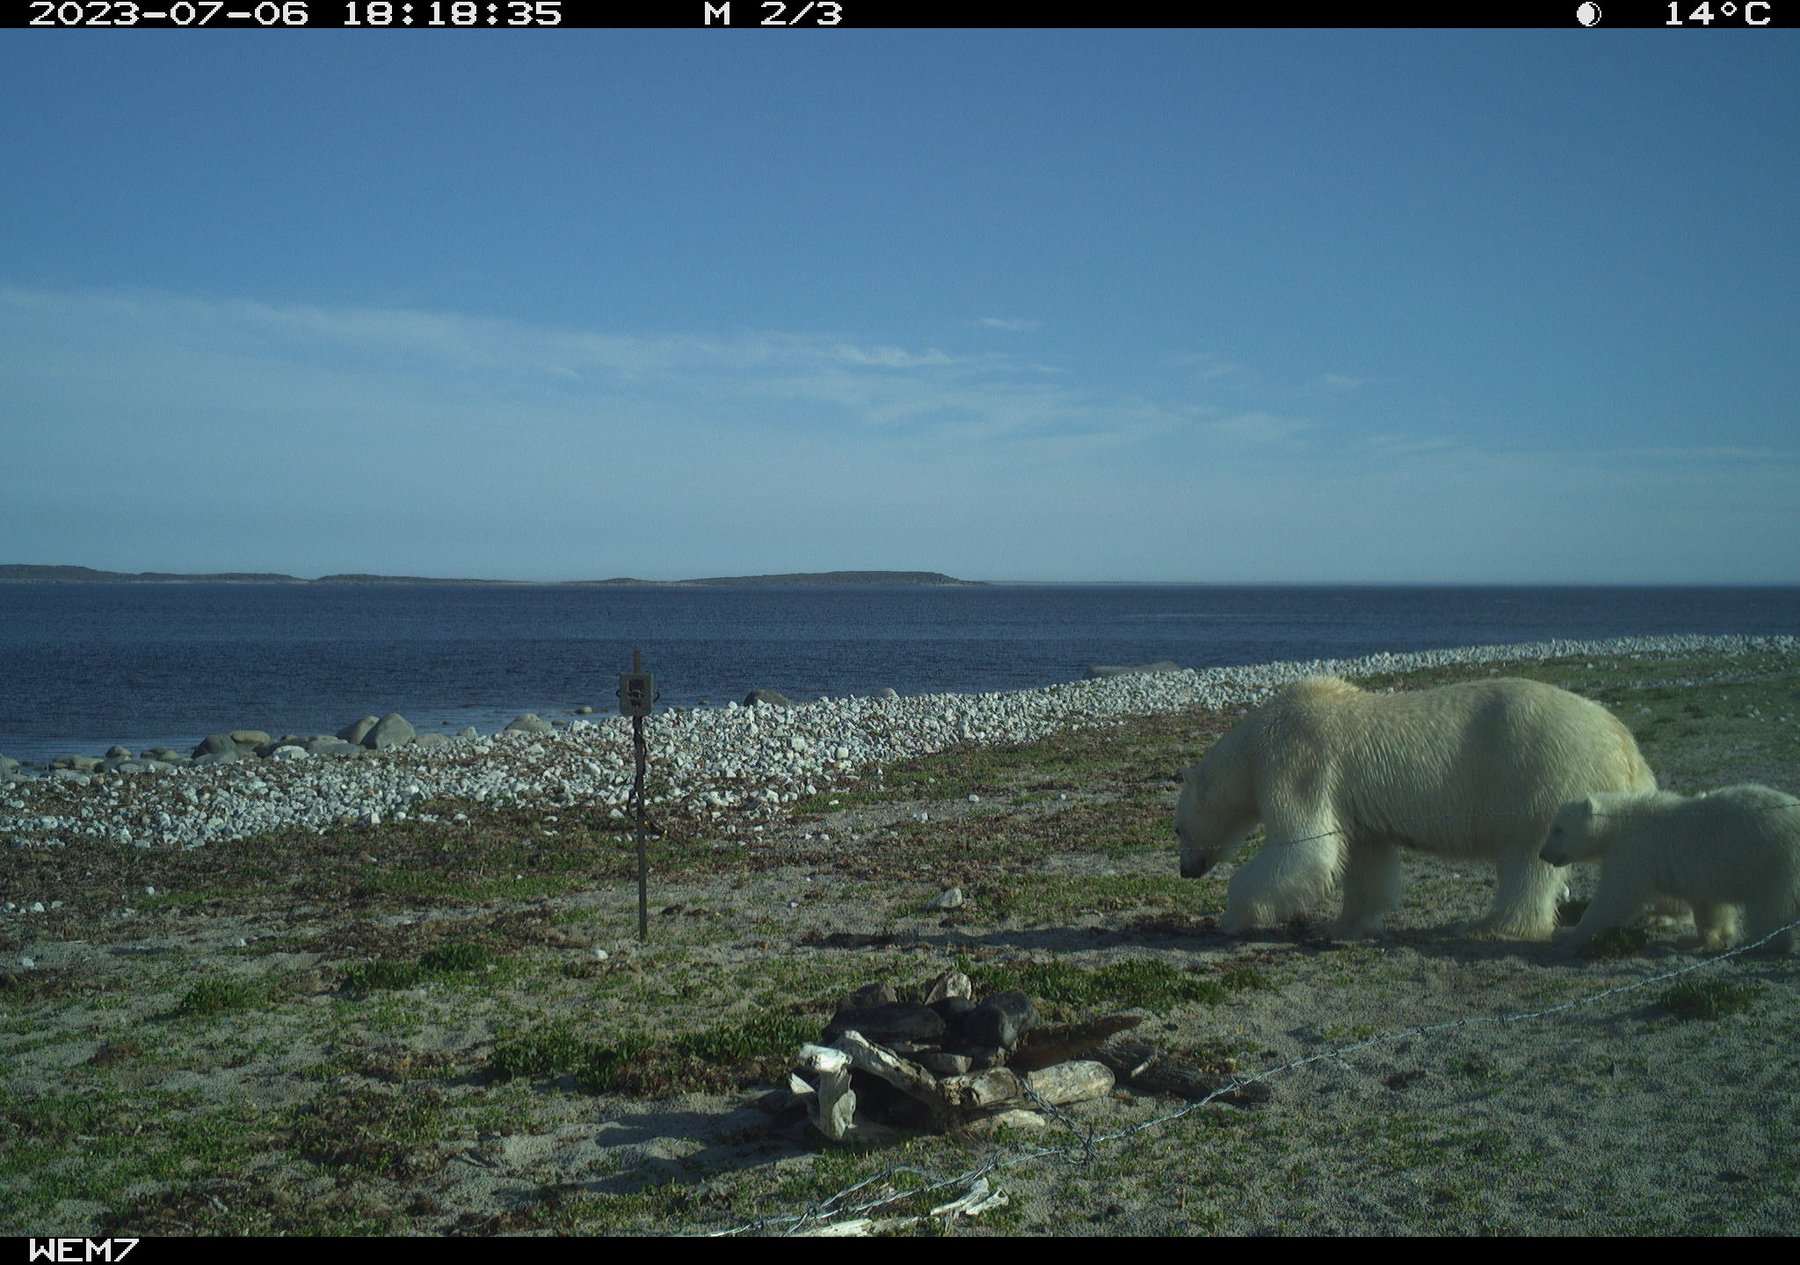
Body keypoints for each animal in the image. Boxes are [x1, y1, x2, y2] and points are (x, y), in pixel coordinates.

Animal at [1175, 675, 1657, 940]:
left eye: (1178, 829)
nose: (1185, 870)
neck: (1254, 744)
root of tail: (1626, 748)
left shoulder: (1296, 762)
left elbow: (1303, 849)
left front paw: (1232, 917)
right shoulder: (1352, 800)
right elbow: (1365, 857)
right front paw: (1337, 927)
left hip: (1541, 776)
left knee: (1527, 858)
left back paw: (1491, 926)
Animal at [1539, 783, 1800, 953]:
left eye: (1558, 829)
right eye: (1552, 826)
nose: (1543, 854)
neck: (1619, 823)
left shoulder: (1634, 851)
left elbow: (1613, 898)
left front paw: (1567, 933)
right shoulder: (1699, 875)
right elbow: (1709, 906)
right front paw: (1710, 936)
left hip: (1773, 858)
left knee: (1770, 906)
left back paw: (1767, 942)